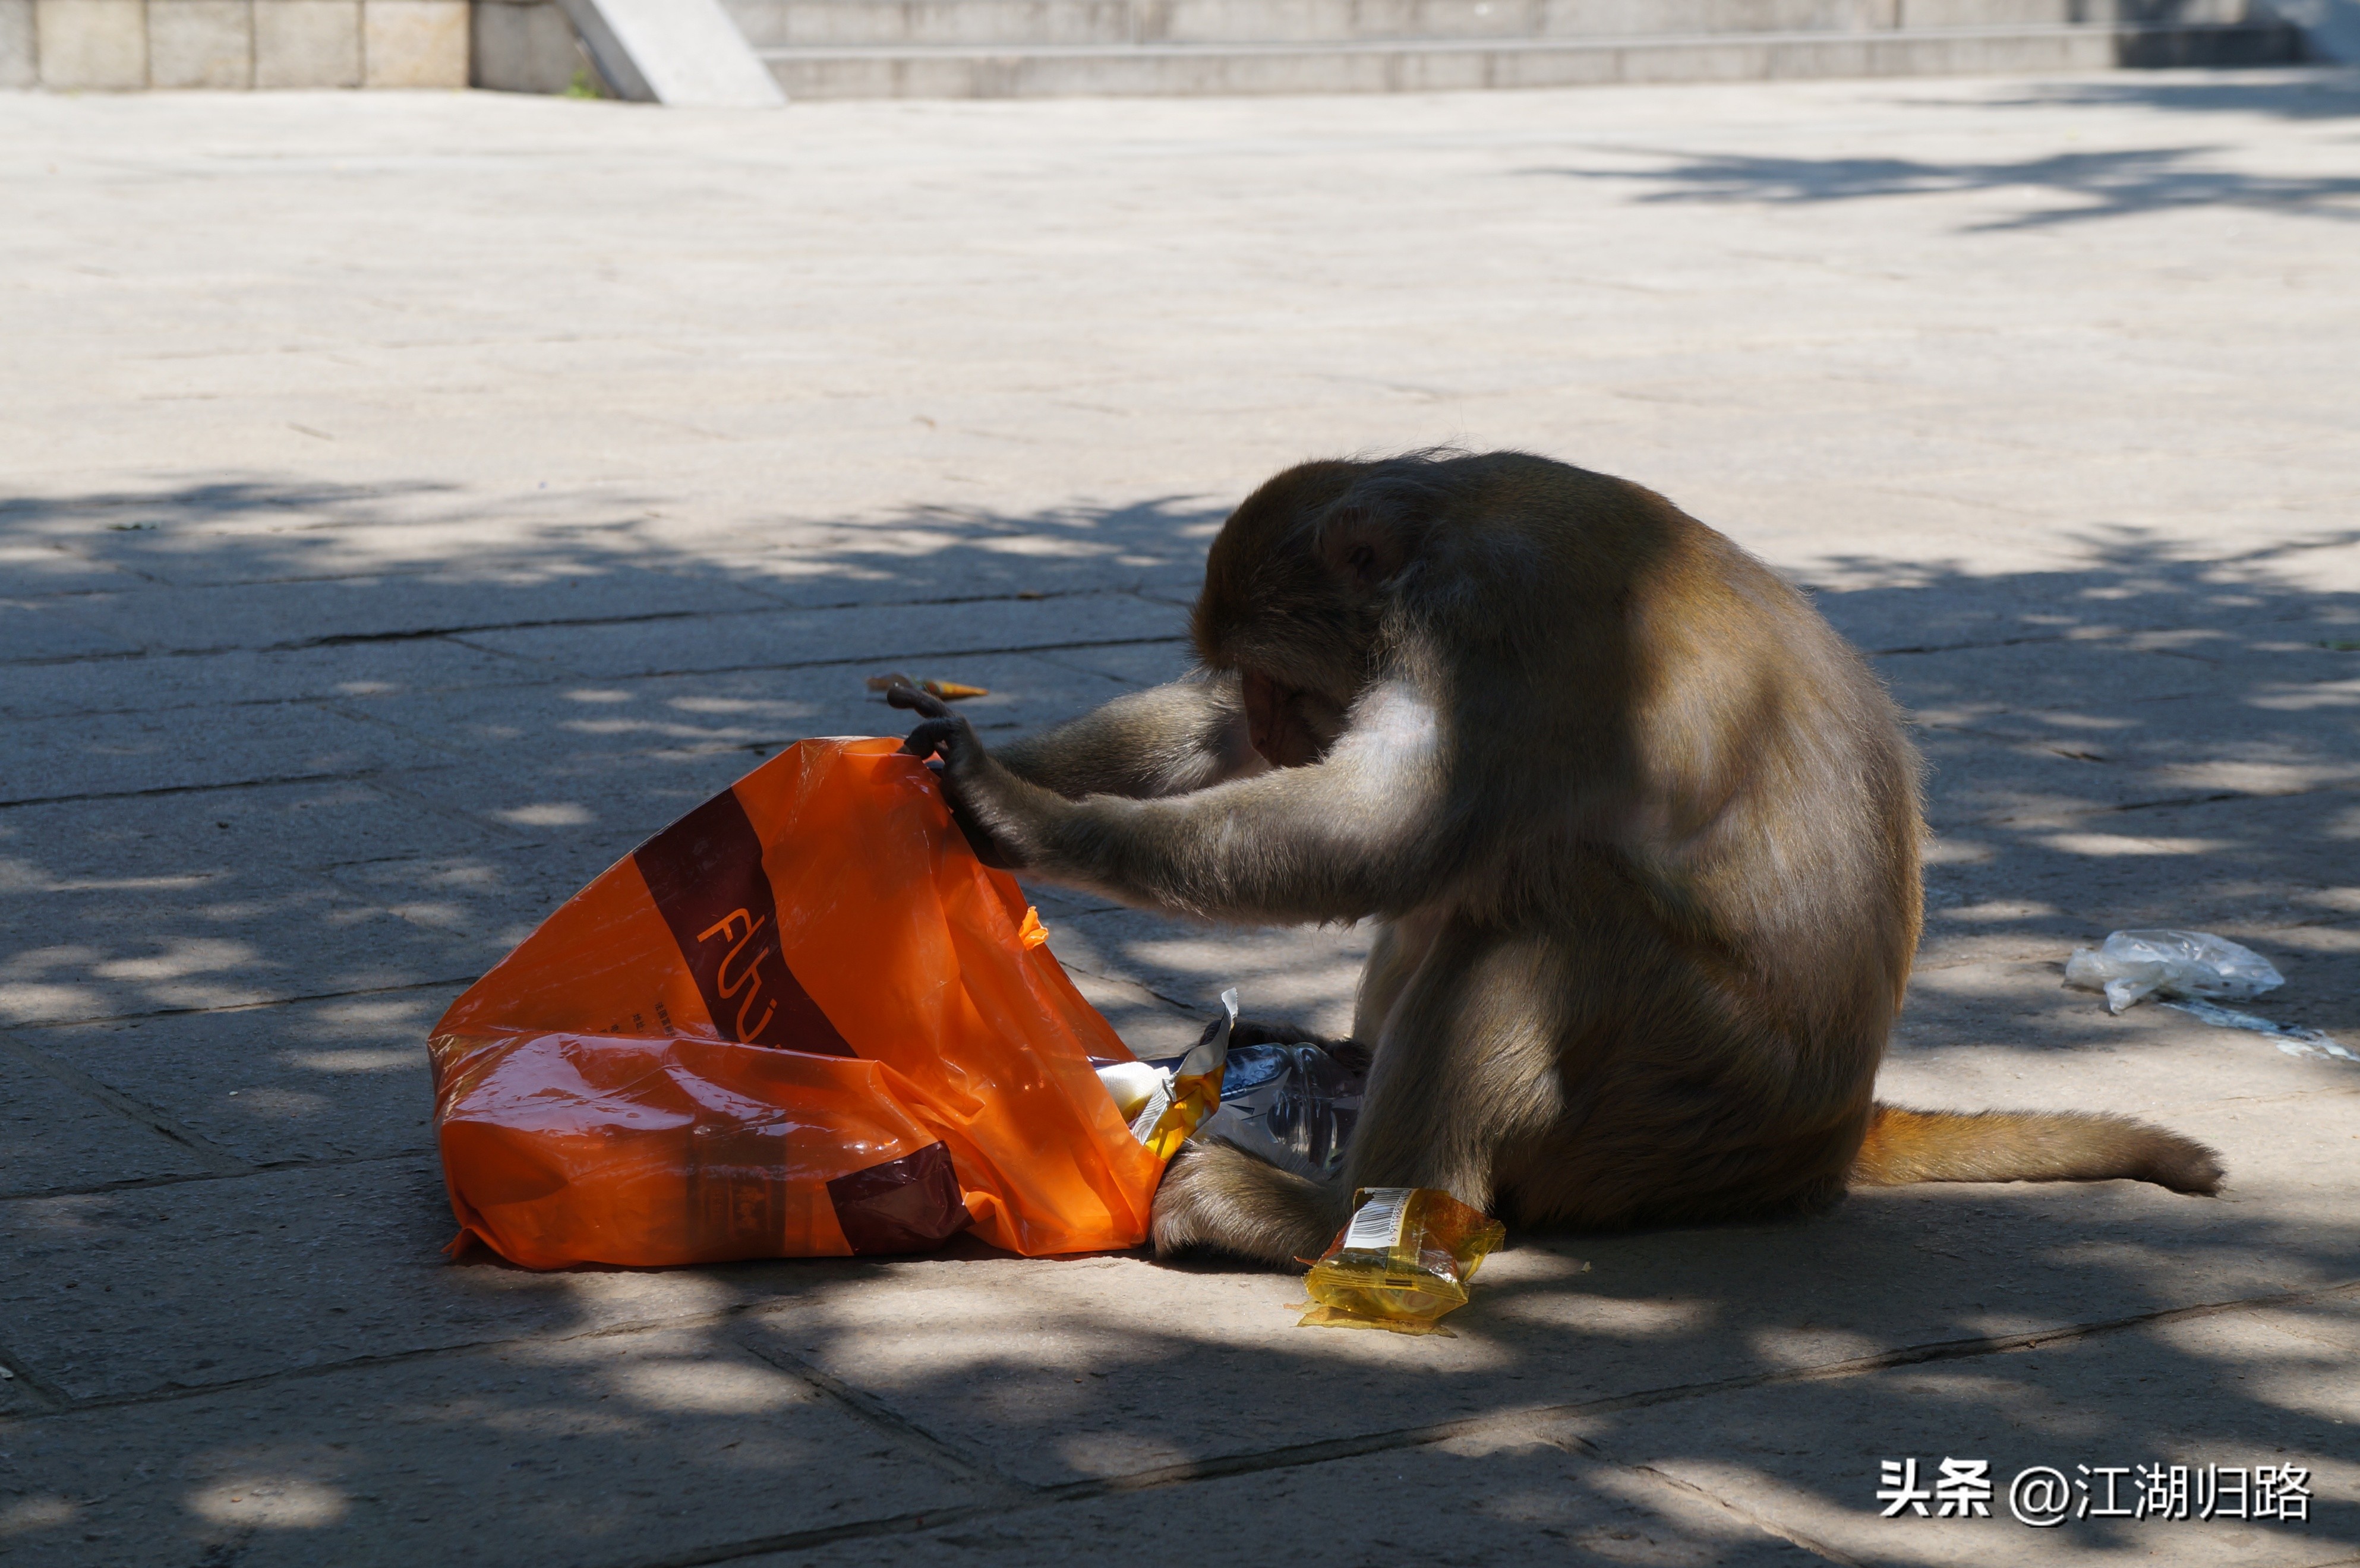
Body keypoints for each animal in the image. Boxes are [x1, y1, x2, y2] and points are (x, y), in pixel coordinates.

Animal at [892, 449, 2223, 1267]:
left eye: (1279, 677)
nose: (1275, 725)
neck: (1442, 531)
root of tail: (1829, 1135)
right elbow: (1263, 771)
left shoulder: (1496, 633)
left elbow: (1384, 832)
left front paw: (1021, 813)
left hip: (1687, 1103)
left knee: (1551, 909)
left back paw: (1330, 1217)